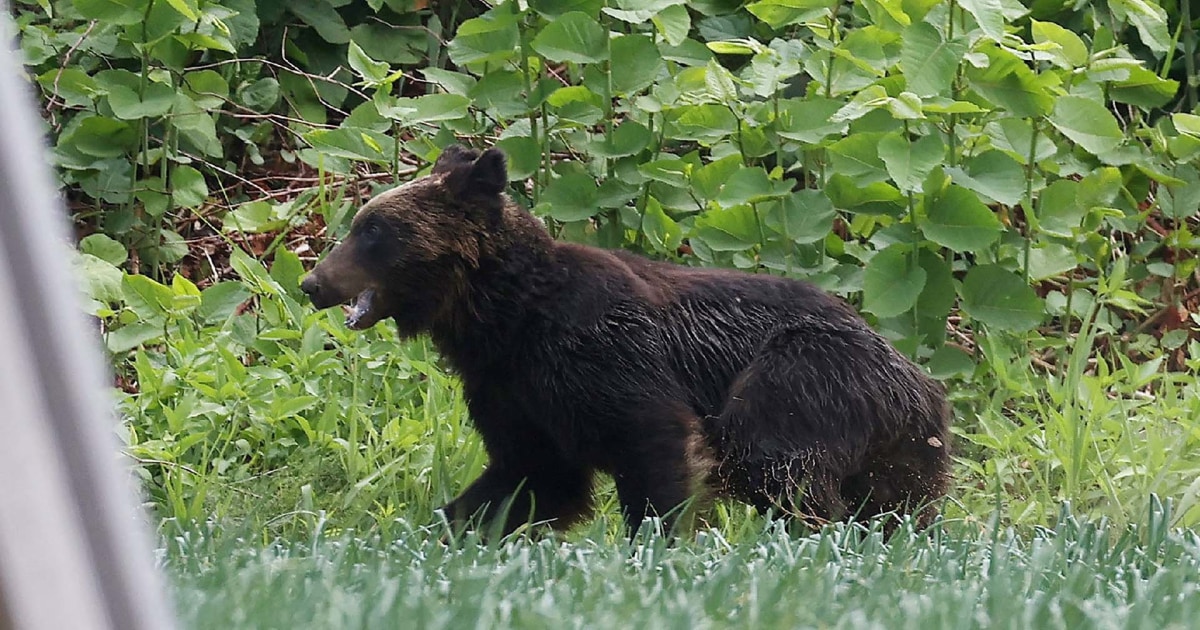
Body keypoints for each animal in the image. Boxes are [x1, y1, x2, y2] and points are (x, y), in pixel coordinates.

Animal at [299, 144, 952, 537]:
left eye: (373, 230)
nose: (311, 282)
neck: (504, 319)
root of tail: (919, 377)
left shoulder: (603, 353)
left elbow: (654, 442)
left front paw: (655, 543)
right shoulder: (512, 391)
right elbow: (529, 476)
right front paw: (447, 527)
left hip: (805, 374)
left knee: (774, 461)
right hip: (902, 448)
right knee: (897, 505)